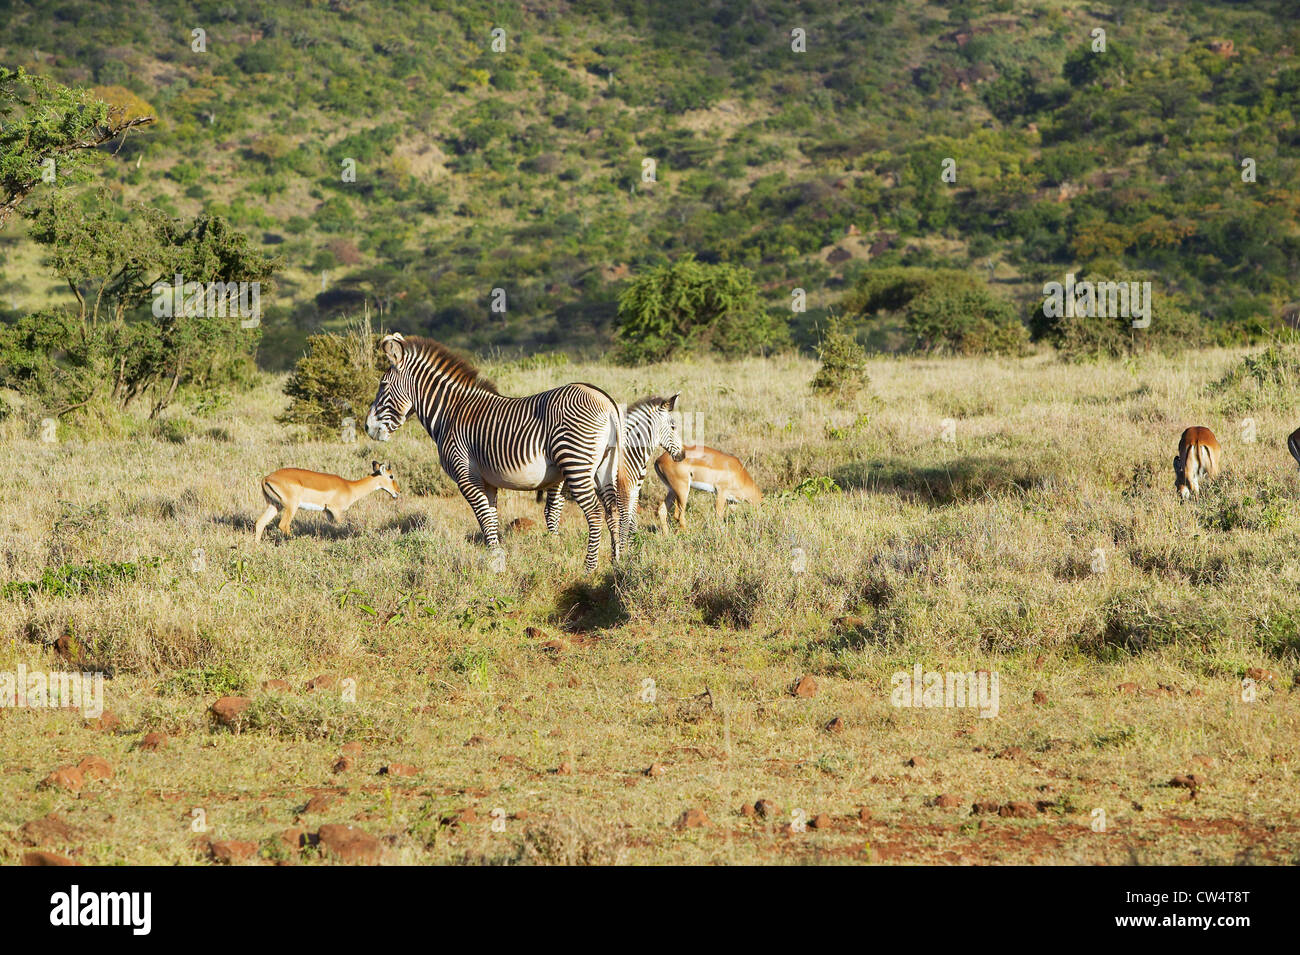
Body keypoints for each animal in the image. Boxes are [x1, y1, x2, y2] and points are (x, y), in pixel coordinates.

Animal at [254, 462, 399, 542]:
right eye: (391, 476)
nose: (397, 492)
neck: (349, 487)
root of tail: (266, 478)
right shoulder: (336, 511)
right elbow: (345, 527)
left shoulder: (328, 514)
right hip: (291, 507)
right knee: (283, 525)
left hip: (275, 506)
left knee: (260, 522)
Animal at [364, 333, 624, 571]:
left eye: (383, 385)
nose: (367, 427)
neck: (451, 413)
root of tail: (605, 400)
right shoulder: (488, 481)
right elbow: (491, 518)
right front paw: (496, 557)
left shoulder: (466, 476)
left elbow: (484, 518)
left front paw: (494, 565)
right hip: (605, 465)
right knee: (612, 509)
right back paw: (617, 562)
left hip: (575, 462)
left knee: (594, 512)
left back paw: (589, 568)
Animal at [539, 394, 685, 549]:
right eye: (673, 427)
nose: (683, 455)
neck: (630, 453)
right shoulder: (619, 491)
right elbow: (623, 521)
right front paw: (623, 547)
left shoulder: (634, 492)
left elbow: (632, 522)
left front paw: (632, 548)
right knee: (550, 511)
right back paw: (555, 545)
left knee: (555, 510)